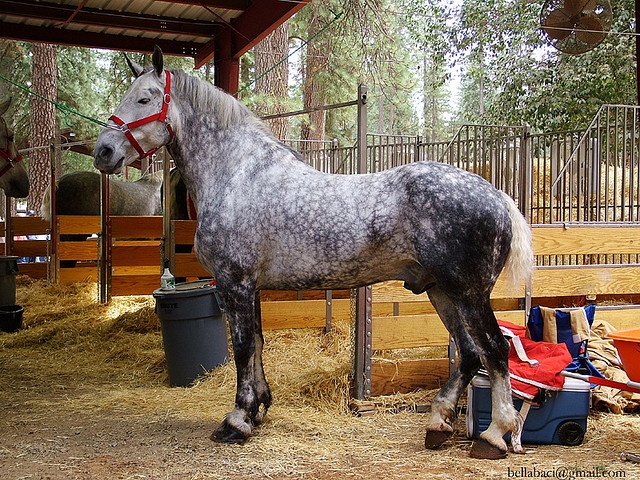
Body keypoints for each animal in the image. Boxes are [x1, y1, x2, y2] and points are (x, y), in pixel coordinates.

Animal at [93, 46, 534, 459]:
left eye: (145, 99)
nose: (103, 152)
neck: (237, 174)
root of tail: (496, 195)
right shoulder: (251, 287)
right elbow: (258, 342)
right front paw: (260, 408)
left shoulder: (234, 283)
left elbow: (242, 348)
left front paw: (237, 421)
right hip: (441, 291)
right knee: (470, 354)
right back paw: (439, 423)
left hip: (469, 293)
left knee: (494, 350)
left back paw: (495, 435)